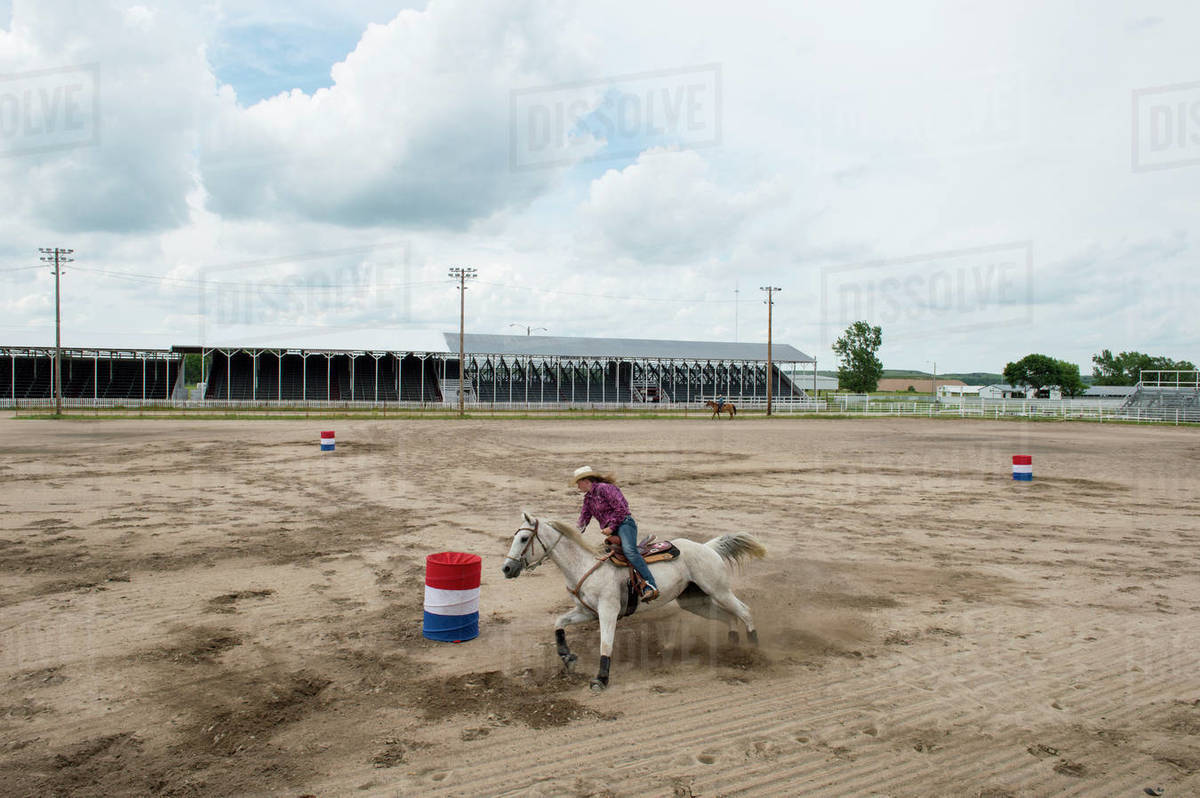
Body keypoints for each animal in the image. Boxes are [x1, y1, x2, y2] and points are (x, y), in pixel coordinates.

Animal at [501, 512, 766, 690]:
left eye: (523, 538)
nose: (506, 568)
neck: (585, 566)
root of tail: (707, 547)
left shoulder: (608, 611)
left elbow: (605, 643)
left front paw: (601, 679)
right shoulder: (586, 612)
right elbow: (559, 623)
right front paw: (568, 657)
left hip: (719, 590)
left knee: (744, 610)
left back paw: (754, 647)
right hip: (694, 601)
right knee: (729, 616)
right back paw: (733, 645)